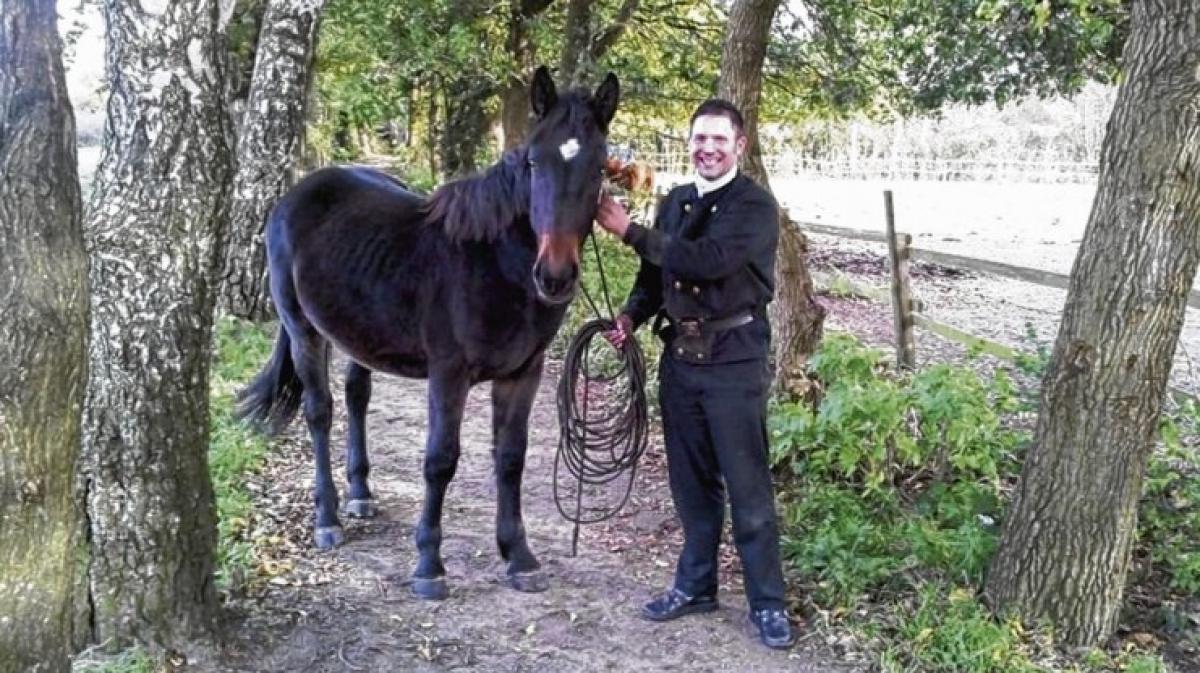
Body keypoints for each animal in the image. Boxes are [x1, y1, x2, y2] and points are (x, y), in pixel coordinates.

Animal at [237, 67, 620, 599]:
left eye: (599, 168)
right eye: (533, 162)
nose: (556, 276)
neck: (493, 261)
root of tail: (297, 193)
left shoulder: (523, 373)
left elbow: (511, 458)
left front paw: (519, 557)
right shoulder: (448, 373)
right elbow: (441, 460)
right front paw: (428, 566)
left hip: (358, 335)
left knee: (356, 396)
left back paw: (360, 494)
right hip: (303, 330)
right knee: (320, 412)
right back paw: (327, 518)